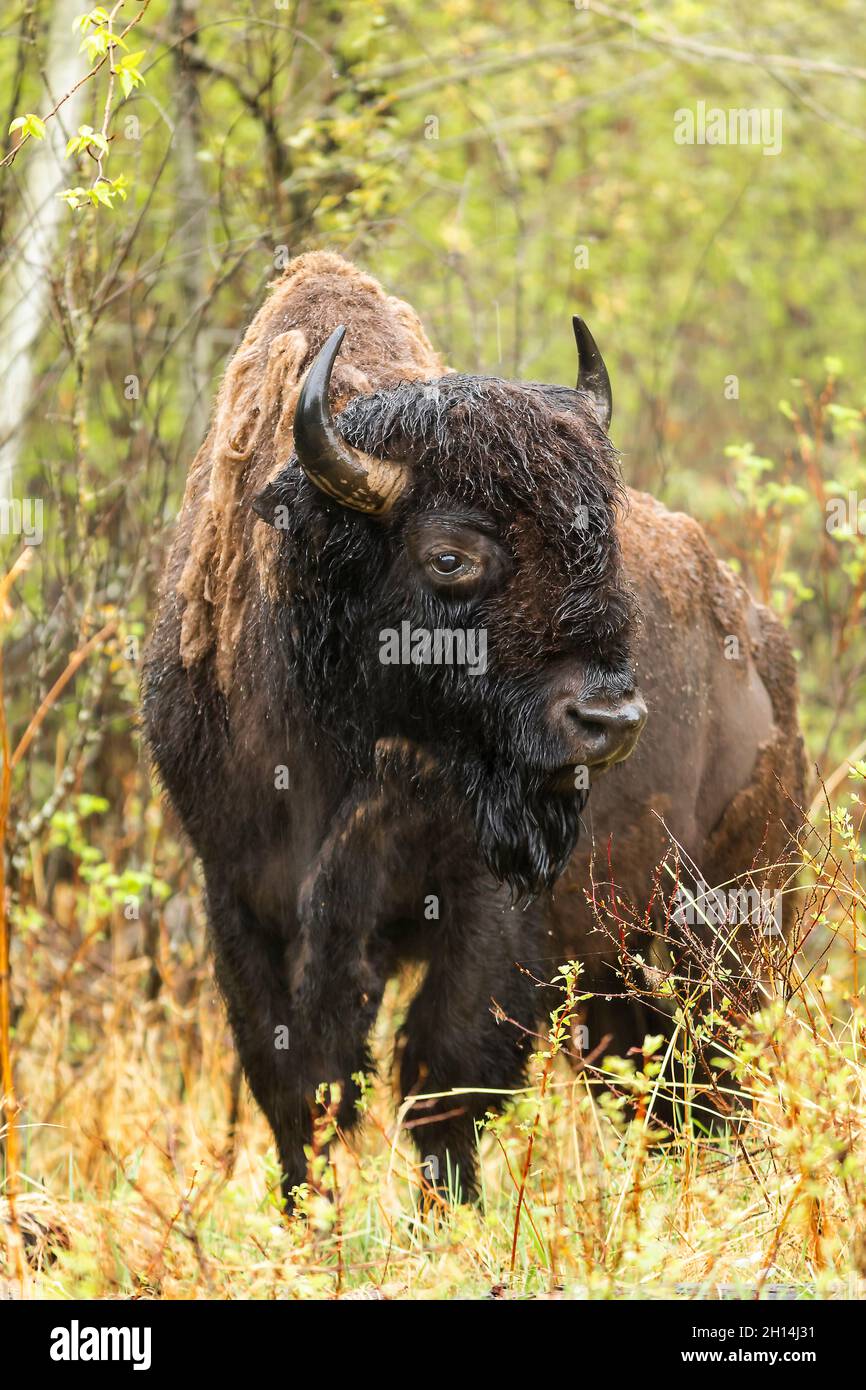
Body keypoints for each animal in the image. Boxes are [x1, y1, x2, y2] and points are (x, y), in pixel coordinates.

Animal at [142, 252, 805, 1205]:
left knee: (712, 1056)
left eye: (601, 542)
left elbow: (444, 1078)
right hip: (617, 963)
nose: (609, 719)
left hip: (725, 917)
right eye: (449, 557)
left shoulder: (489, 905)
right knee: (655, 1076)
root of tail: (763, 645)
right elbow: (294, 1089)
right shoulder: (237, 893)